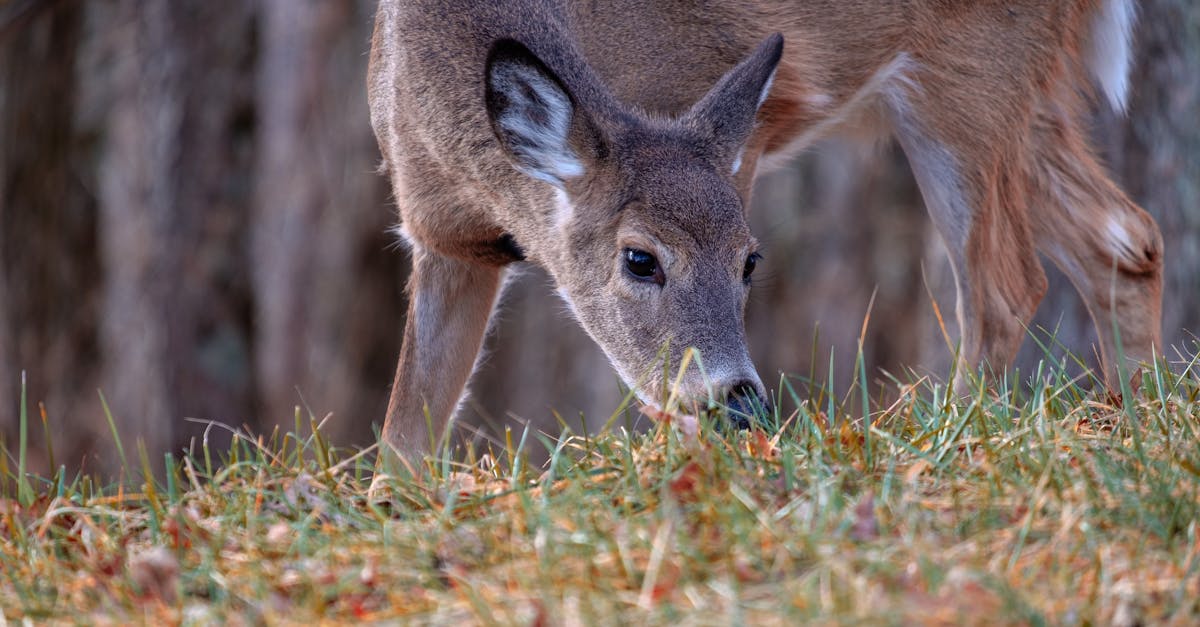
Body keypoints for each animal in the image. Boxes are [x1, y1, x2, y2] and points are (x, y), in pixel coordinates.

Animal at [364, 0, 1161, 458]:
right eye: (640, 259)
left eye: (750, 261)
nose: (741, 399)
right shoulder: (445, 237)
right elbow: (407, 426)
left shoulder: (726, 122)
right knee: (1127, 237)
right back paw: (1135, 419)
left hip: (968, 77)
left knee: (1006, 282)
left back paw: (949, 439)